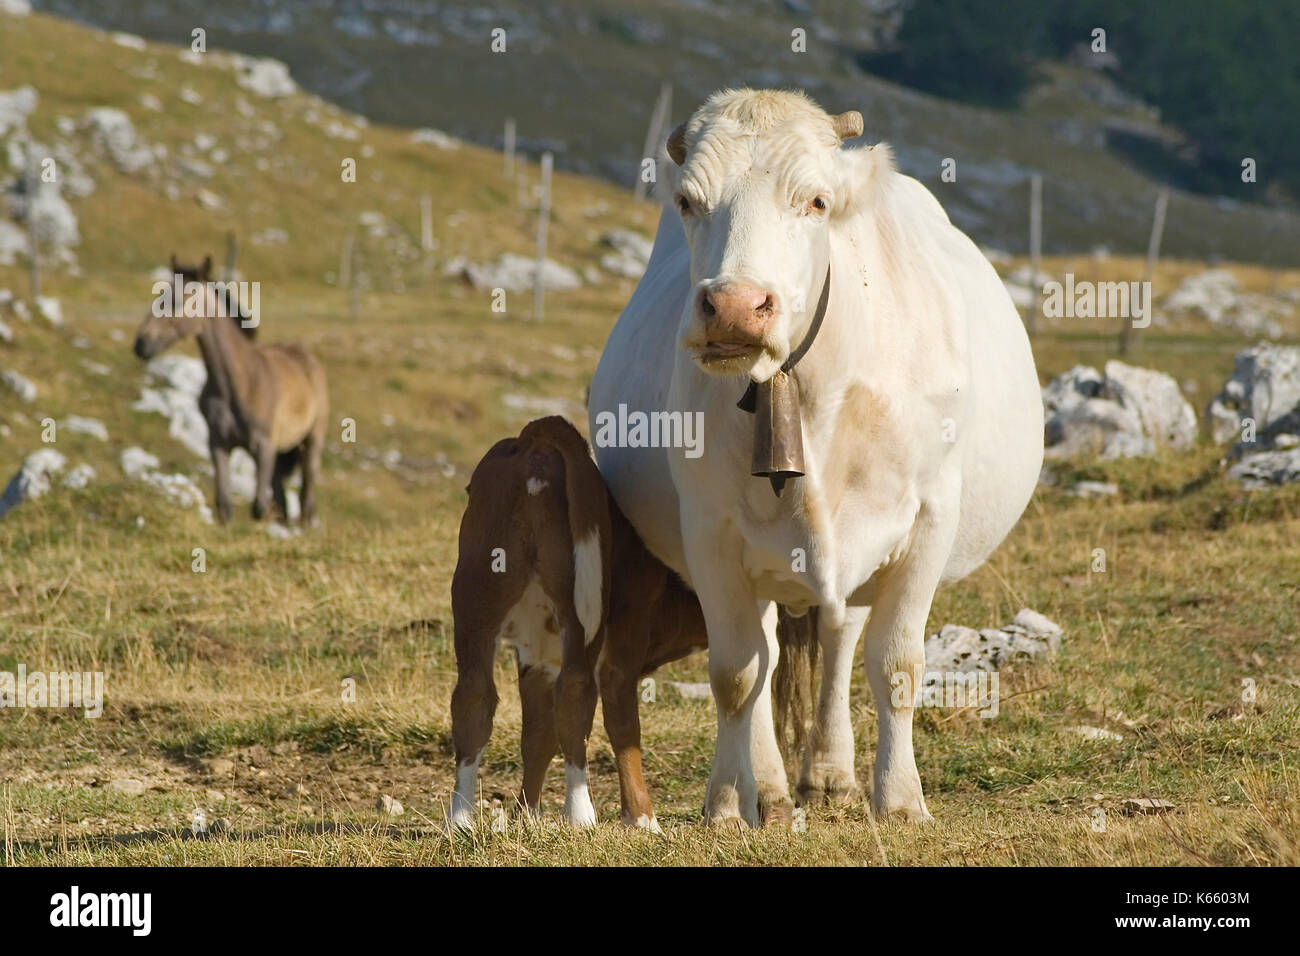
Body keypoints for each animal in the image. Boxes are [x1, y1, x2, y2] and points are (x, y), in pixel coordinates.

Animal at [449, 416, 707, 831]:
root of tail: (535, 443)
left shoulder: (537, 657)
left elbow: (538, 735)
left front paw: (528, 813)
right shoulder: (623, 642)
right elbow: (622, 726)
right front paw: (641, 818)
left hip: (476, 595)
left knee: (473, 697)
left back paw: (459, 818)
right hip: (579, 609)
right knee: (576, 691)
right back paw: (580, 813)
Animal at [588, 89, 1044, 827]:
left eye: (817, 202)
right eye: (687, 201)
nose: (735, 308)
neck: (806, 393)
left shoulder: (927, 520)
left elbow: (897, 665)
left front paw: (901, 799)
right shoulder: (709, 532)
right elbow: (736, 673)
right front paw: (727, 801)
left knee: (838, 638)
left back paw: (829, 772)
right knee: (770, 652)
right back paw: (772, 786)